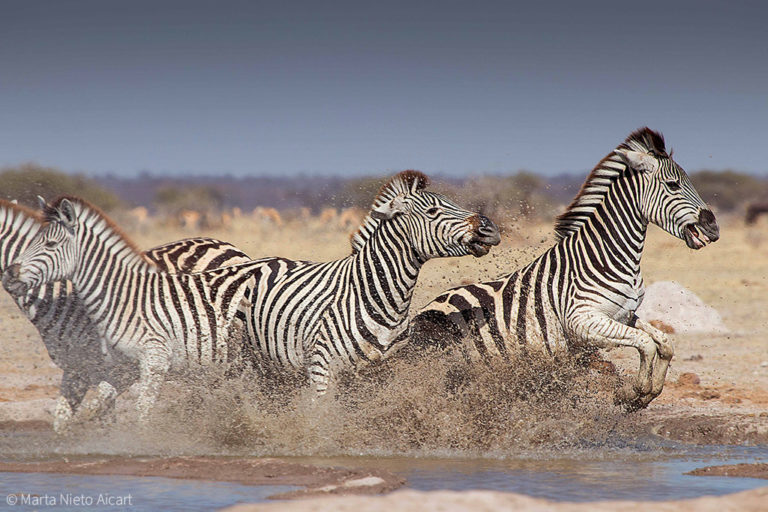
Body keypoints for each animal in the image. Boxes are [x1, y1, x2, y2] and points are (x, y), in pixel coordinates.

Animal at [409, 128, 719, 411]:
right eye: (673, 185)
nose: (713, 227)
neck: (604, 255)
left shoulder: (622, 315)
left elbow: (664, 342)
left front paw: (649, 391)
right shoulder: (582, 320)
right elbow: (646, 343)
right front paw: (633, 393)